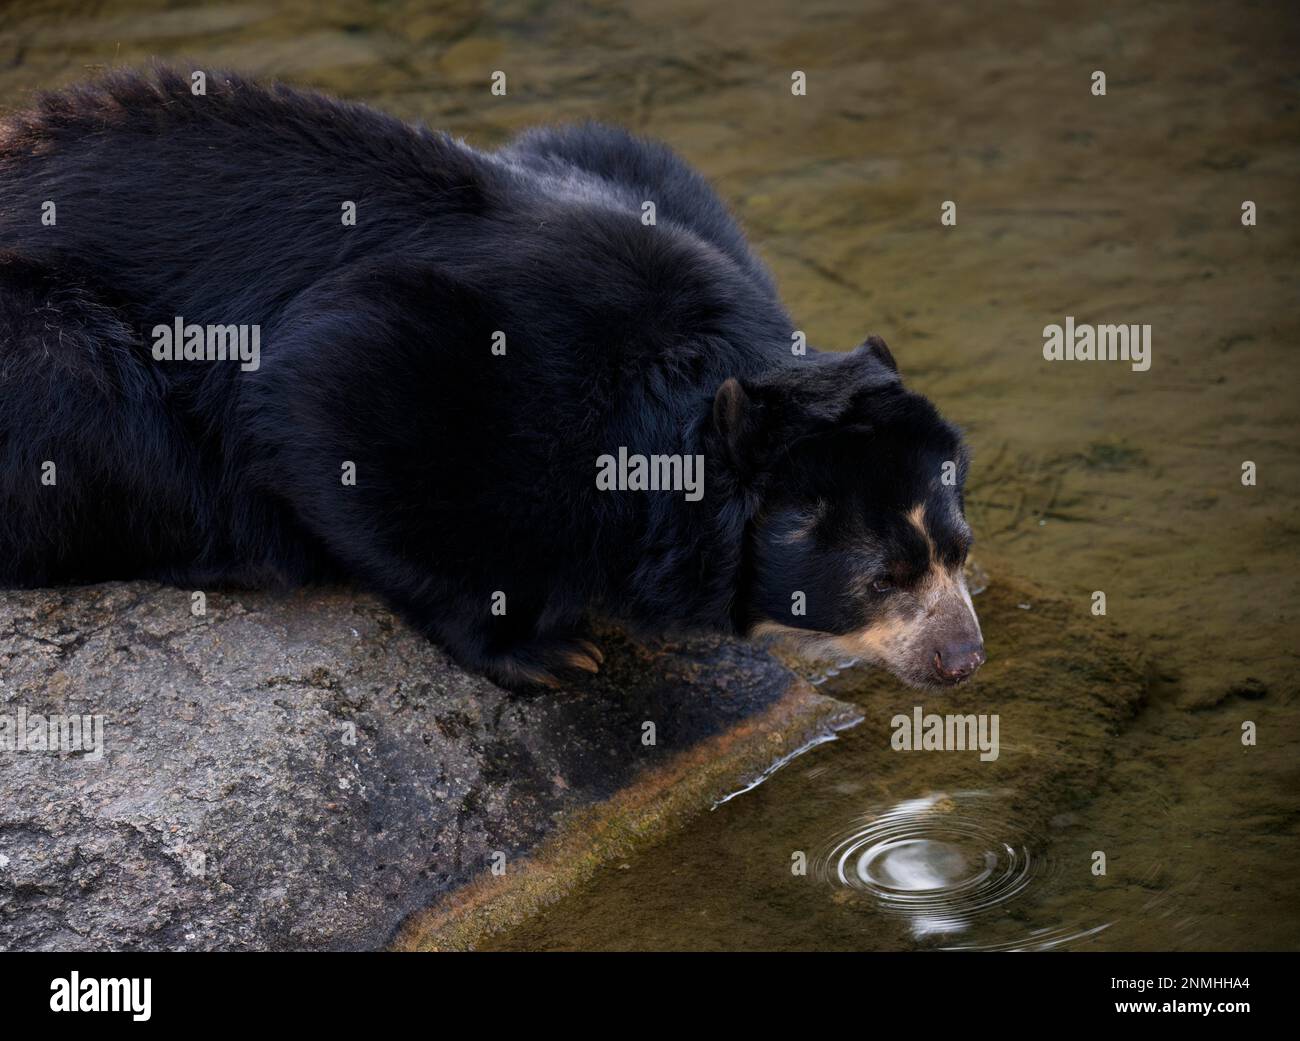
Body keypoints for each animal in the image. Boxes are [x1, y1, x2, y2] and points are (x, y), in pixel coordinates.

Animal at [0, 66, 984, 690]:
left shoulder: (624, 161)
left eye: (960, 551)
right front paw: (546, 651)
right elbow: (318, 395)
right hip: (47, 355)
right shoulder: (450, 356)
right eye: (883, 577)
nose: (964, 657)